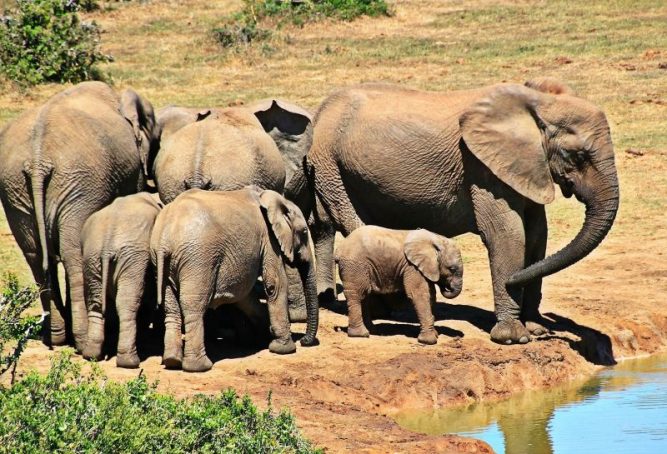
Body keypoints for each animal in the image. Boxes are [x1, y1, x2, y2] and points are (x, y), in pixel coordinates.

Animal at [0, 81, 160, 350]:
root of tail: (37, 160)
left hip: (16, 189)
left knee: (35, 255)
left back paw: (55, 337)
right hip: (80, 184)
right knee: (72, 254)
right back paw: (82, 341)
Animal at [80, 192, 164, 368]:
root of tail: (106, 246)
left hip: (91, 258)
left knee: (96, 303)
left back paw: (91, 355)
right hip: (132, 258)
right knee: (127, 303)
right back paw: (130, 362)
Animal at [150, 187, 318, 372]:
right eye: (304, 232)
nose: (305, 341)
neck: (274, 199)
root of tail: (165, 238)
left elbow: (244, 295)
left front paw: (261, 339)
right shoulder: (268, 238)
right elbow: (275, 284)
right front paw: (283, 349)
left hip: (162, 262)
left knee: (171, 308)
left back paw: (172, 361)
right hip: (198, 259)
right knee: (194, 306)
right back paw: (199, 367)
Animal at [307, 78, 619, 345]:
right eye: (577, 156)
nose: (513, 280)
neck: (537, 103)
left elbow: (536, 236)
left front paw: (536, 329)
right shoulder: (483, 168)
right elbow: (508, 235)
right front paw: (512, 338)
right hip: (330, 166)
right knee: (354, 222)